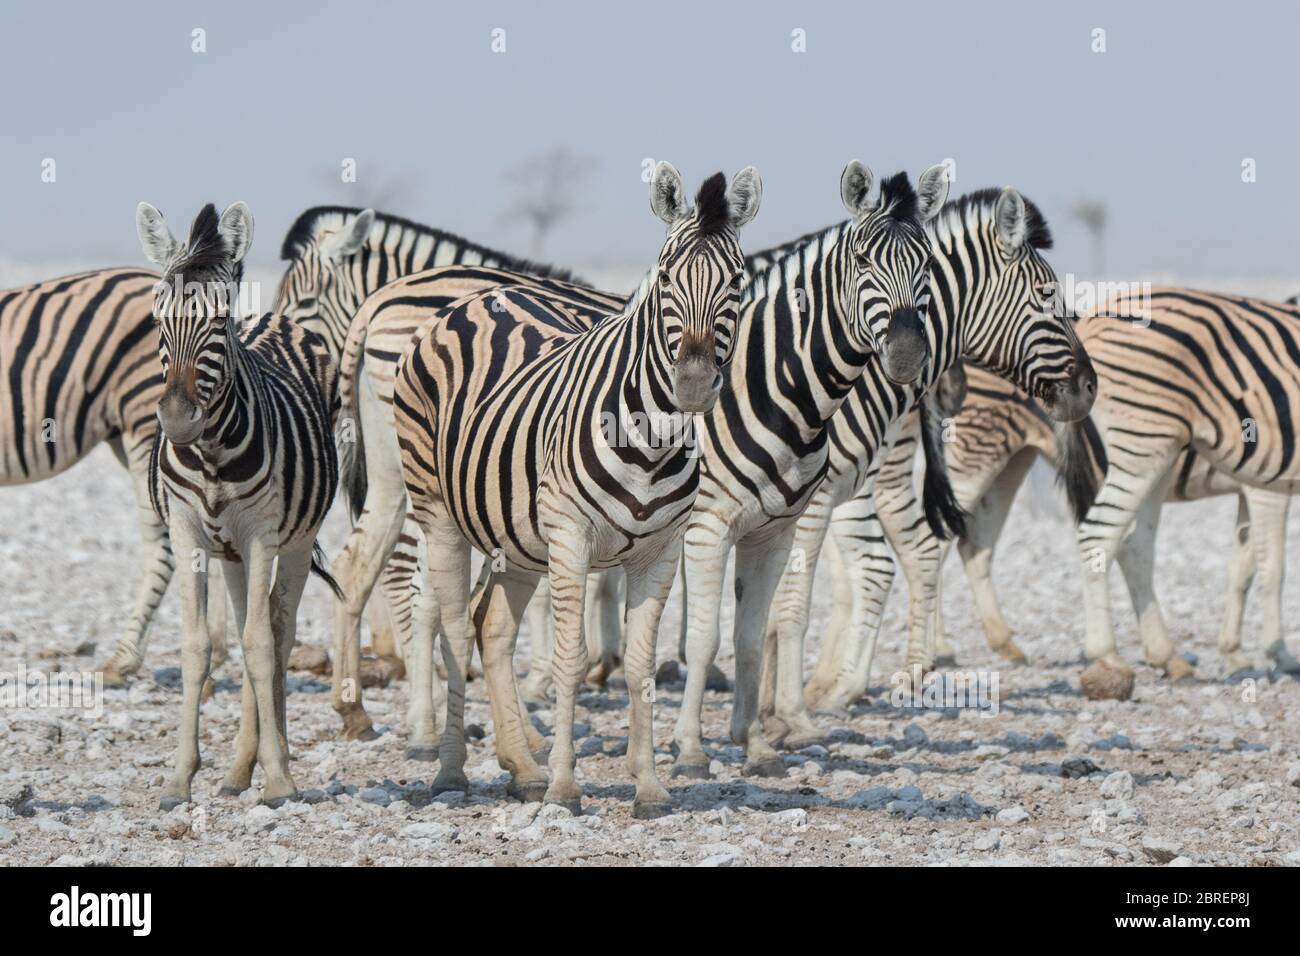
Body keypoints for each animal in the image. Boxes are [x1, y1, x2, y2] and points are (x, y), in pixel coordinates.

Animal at [136, 201, 341, 809]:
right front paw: (180, 778)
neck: (209, 457)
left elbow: (256, 643)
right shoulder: (186, 533)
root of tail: (273, 317)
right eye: (156, 320)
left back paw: (271, 761)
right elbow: (197, 646)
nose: (178, 421)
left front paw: (278, 778)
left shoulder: (262, 536)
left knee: (277, 627)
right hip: (228, 553)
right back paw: (237, 770)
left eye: (218, 323)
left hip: (291, 542)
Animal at [392, 164, 761, 816]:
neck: (651, 441)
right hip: (438, 511)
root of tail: (485, 296)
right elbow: (571, 659)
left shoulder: (660, 550)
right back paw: (452, 772)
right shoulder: (570, 538)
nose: (692, 385)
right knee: (456, 632)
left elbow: (639, 665)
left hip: (516, 538)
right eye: (666, 275)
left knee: (493, 628)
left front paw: (648, 785)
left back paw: (521, 769)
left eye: (737, 281)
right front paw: (565, 788)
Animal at [674, 184, 1099, 777]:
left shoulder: (808, 501)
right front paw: (788, 715)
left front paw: (773, 714)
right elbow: (791, 607)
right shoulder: (812, 500)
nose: (1090, 387)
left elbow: (780, 608)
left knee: (901, 555)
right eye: (1045, 293)